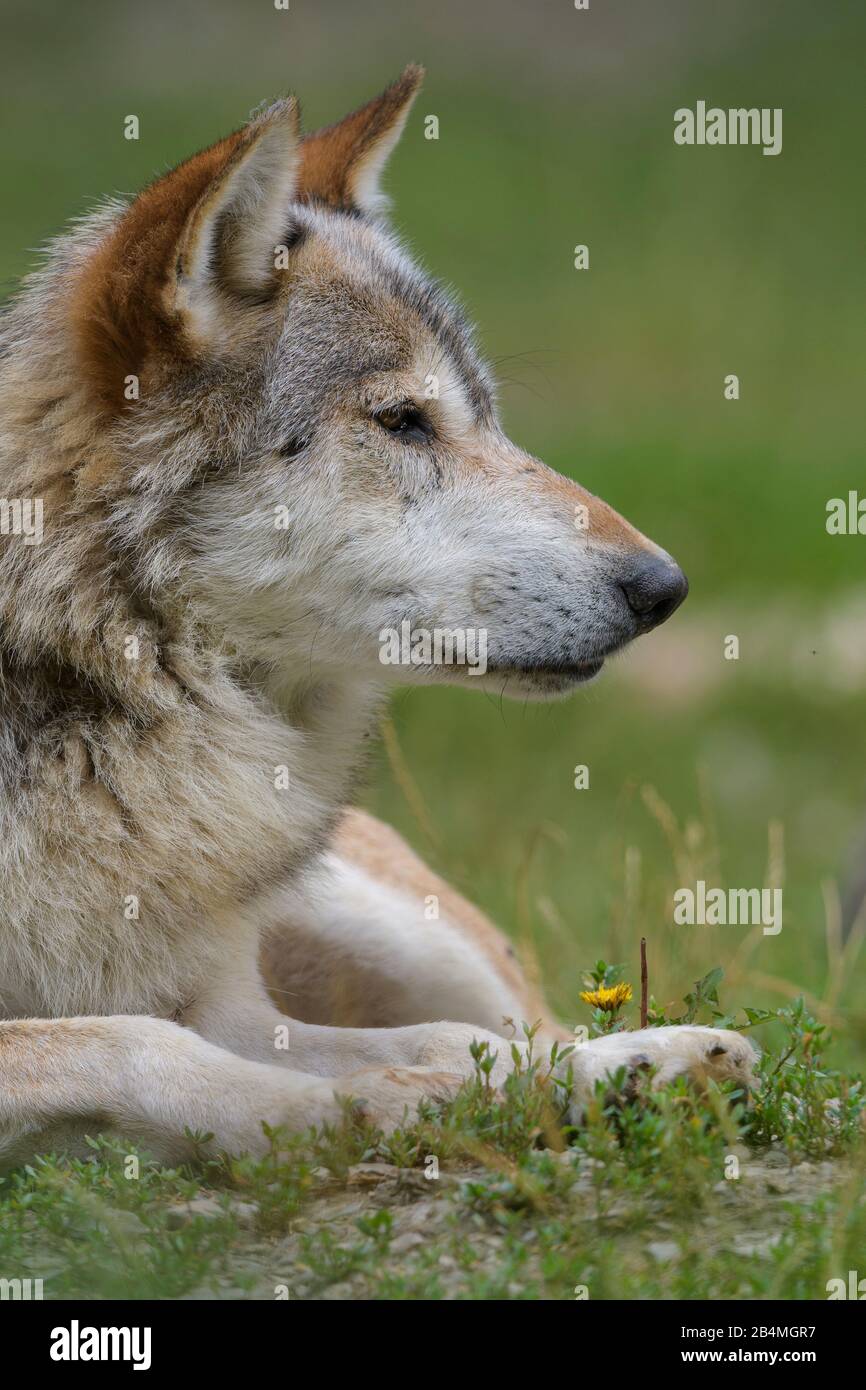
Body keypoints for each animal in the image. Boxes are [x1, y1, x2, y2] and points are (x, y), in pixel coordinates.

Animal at [0, 67, 756, 1167]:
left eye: (488, 417)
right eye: (403, 421)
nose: (664, 589)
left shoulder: (230, 1003)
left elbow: (426, 1042)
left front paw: (515, 1087)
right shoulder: (153, 1023)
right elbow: (148, 1046)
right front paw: (381, 1109)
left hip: (394, 926)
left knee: (522, 1017)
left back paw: (646, 1064)